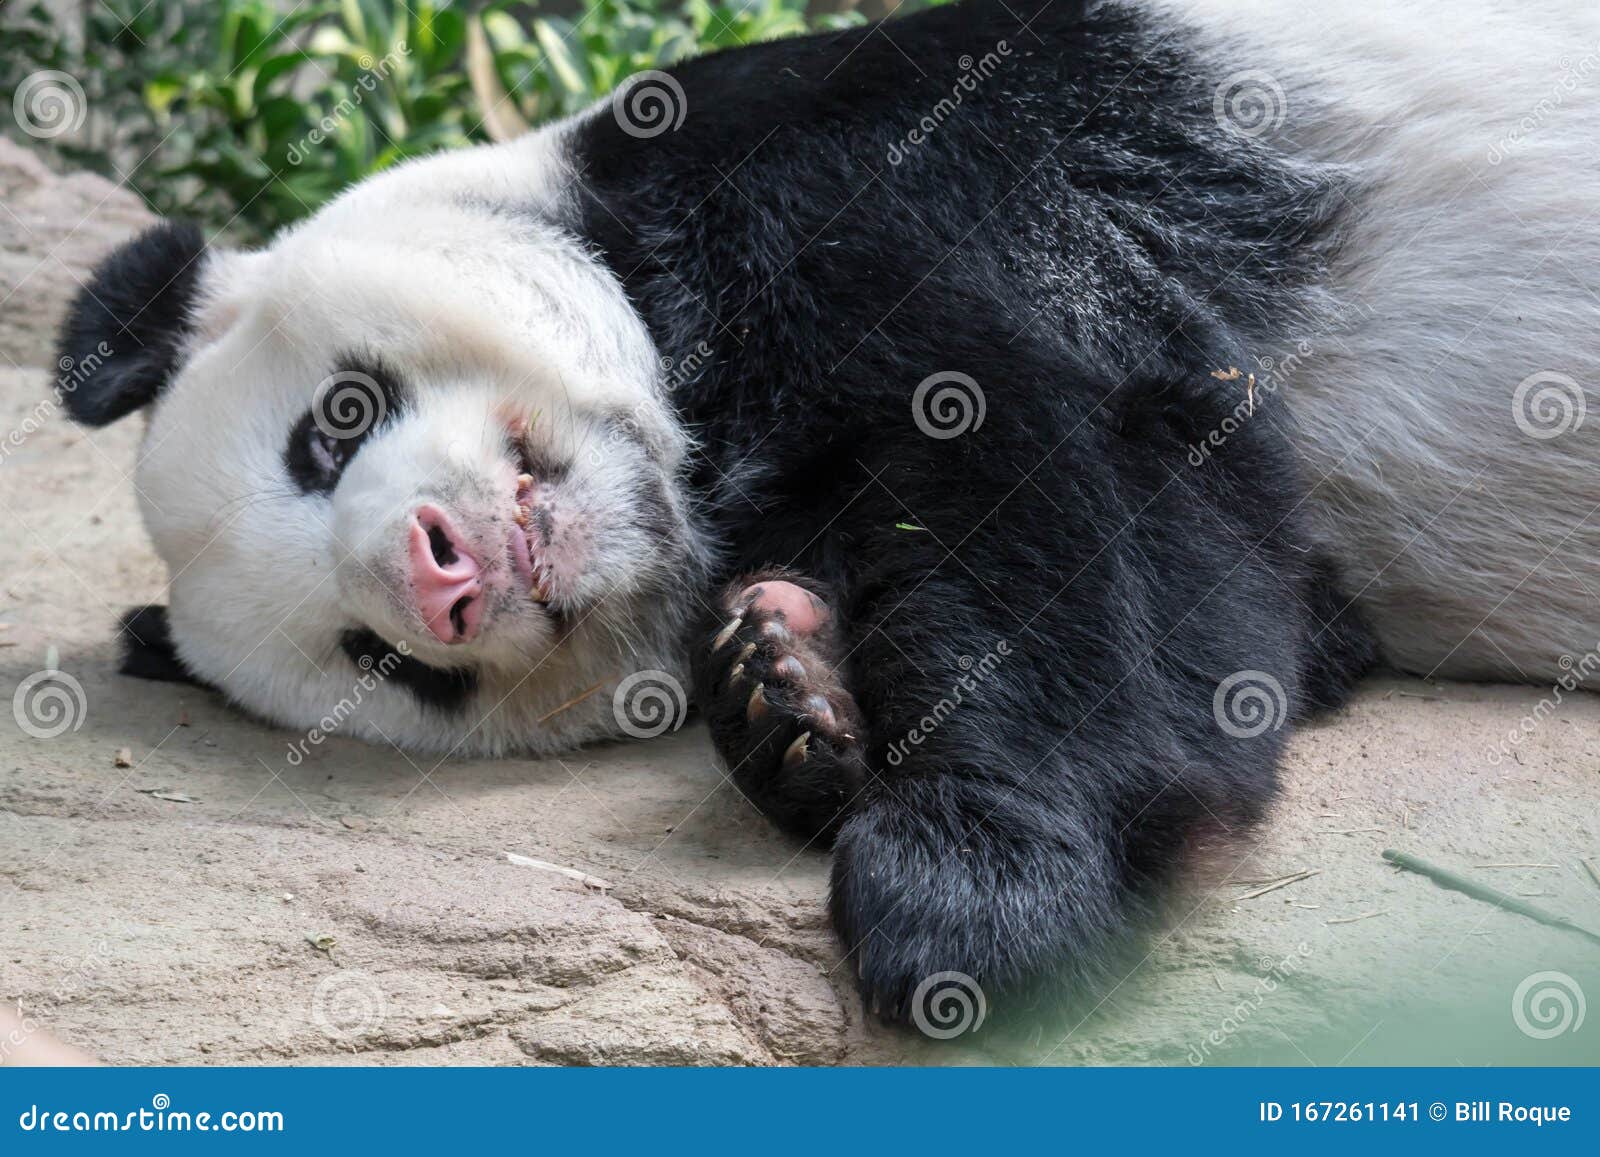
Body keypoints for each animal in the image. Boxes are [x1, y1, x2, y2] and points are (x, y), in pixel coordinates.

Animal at [56, 0, 1600, 1024]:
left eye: (334, 424)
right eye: (379, 660)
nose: (440, 581)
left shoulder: (886, 165)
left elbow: (1058, 454)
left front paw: (972, 887)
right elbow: (1249, 610)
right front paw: (787, 690)